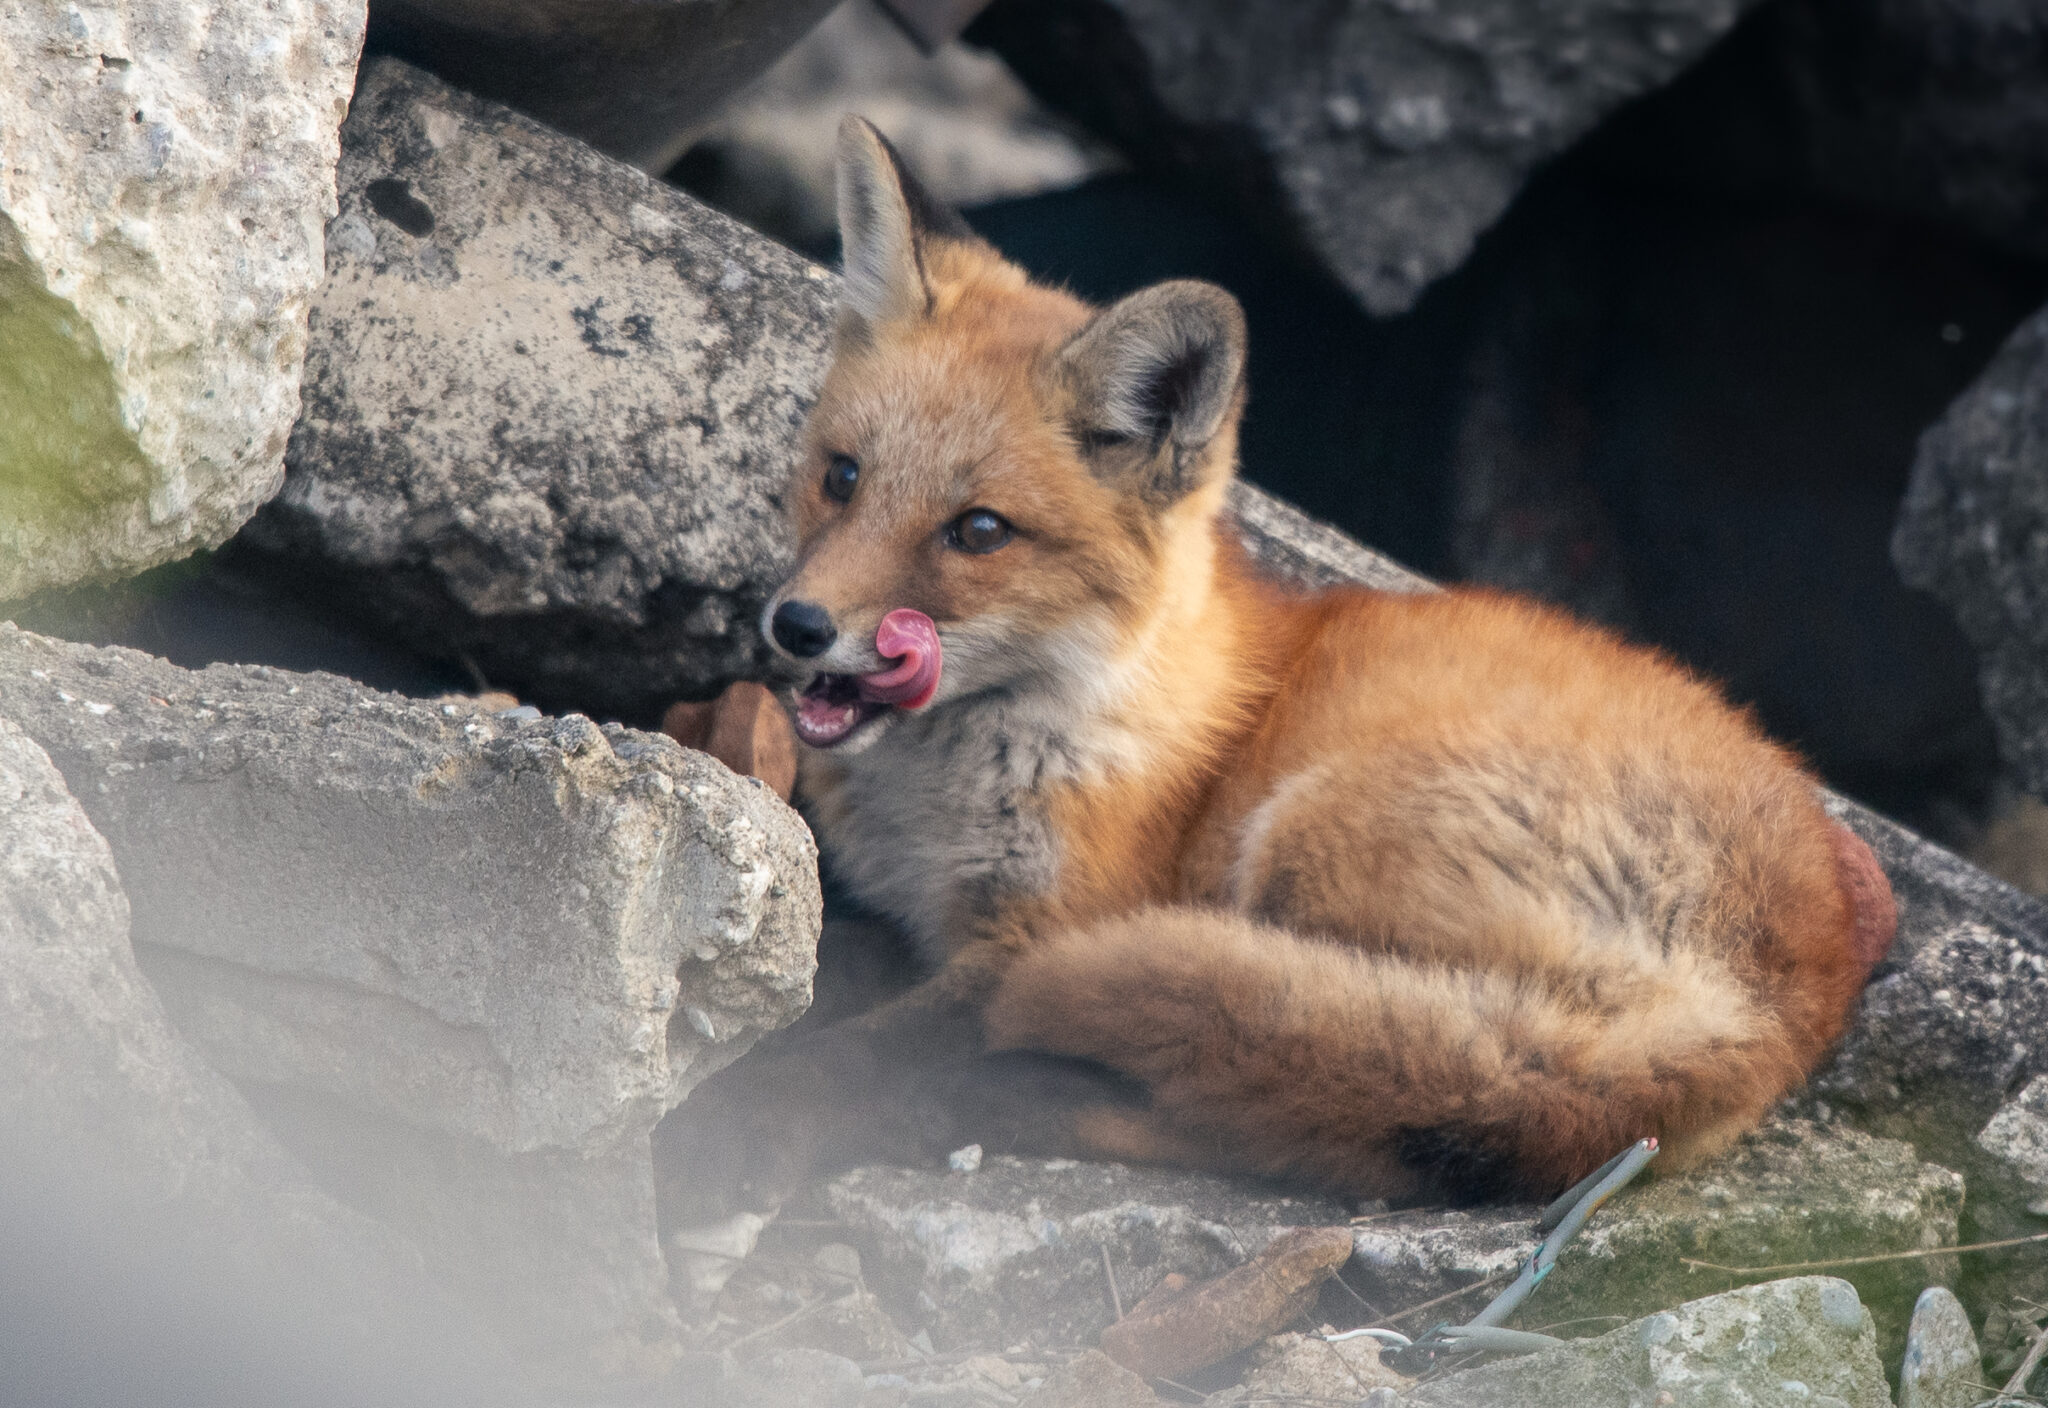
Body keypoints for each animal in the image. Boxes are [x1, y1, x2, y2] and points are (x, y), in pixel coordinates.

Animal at [653, 117, 1896, 1224]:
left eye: (977, 532)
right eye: (842, 476)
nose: (798, 626)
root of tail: (1795, 992)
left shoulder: (1040, 929)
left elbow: (861, 1049)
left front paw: (736, 1127)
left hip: (1313, 830)